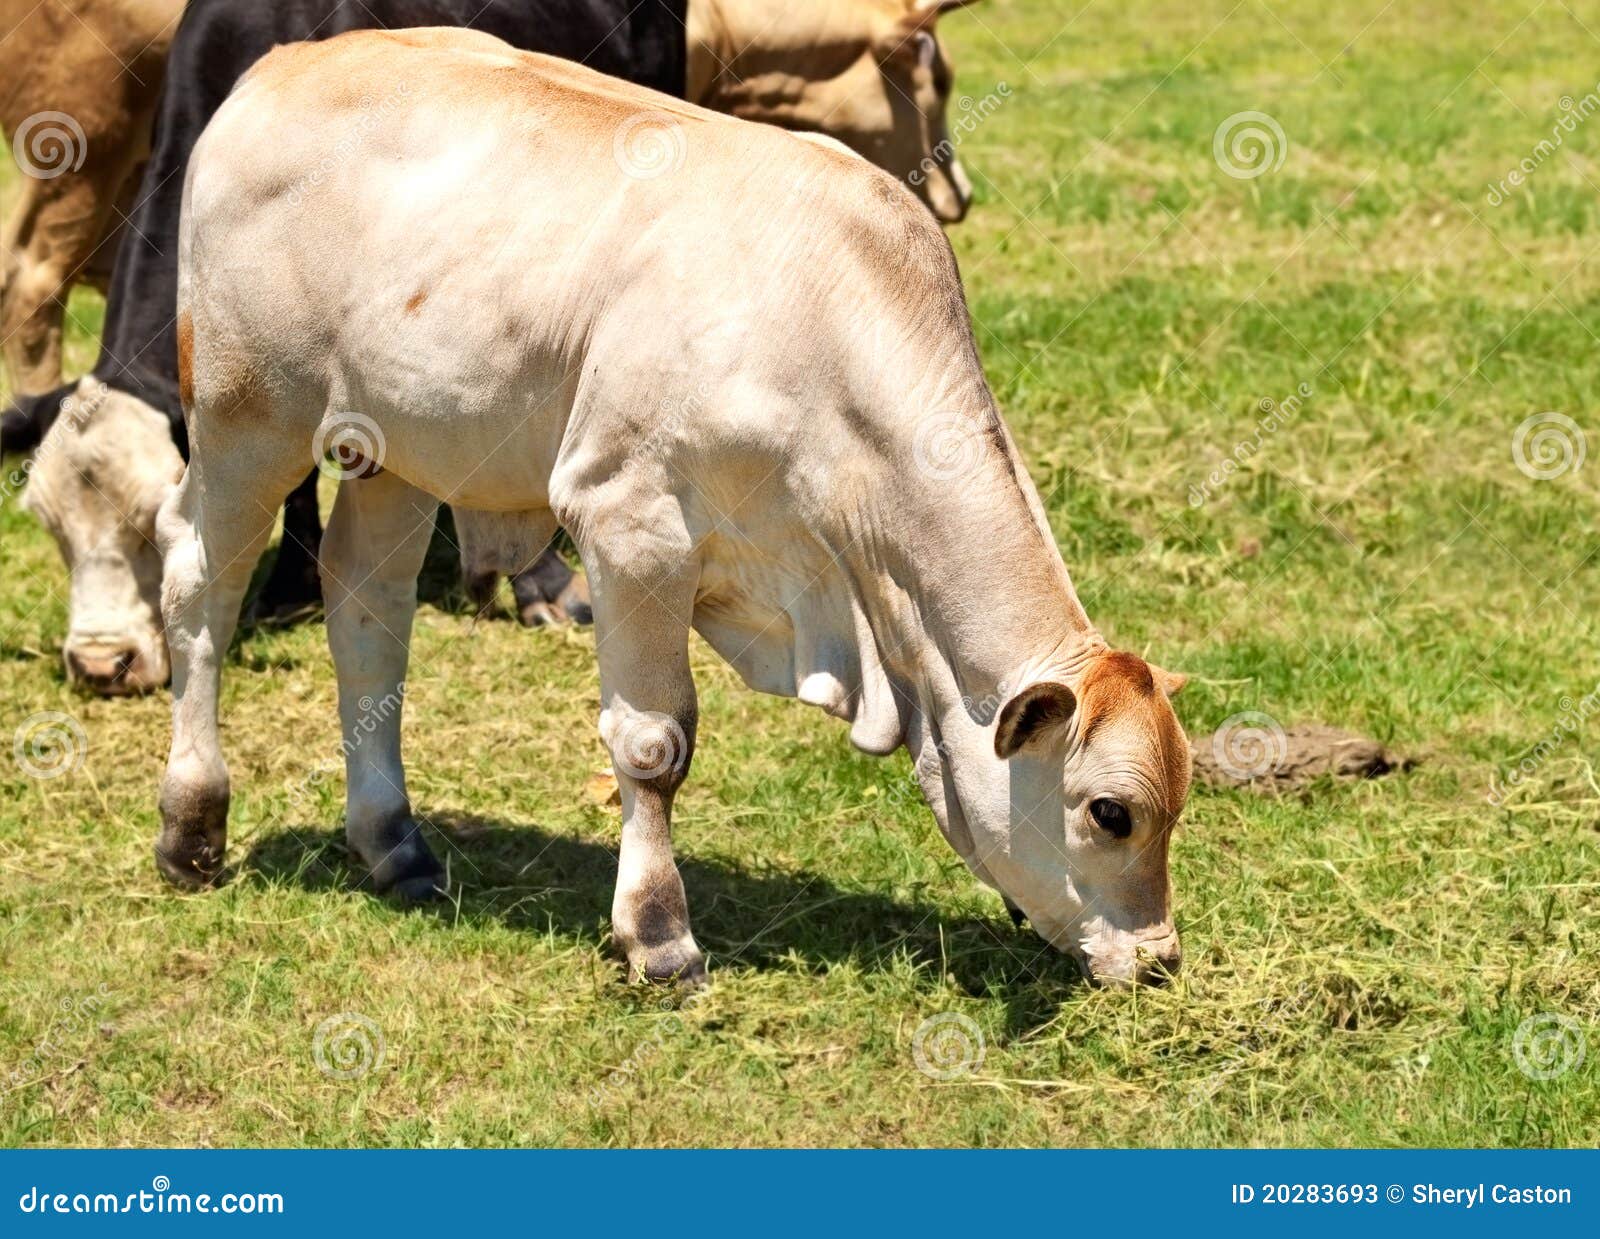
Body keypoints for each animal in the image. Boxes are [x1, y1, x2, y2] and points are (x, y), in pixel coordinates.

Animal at [157, 28, 1191, 988]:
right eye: (1111, 811)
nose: (1160, 960)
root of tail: (282, 65)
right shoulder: (631, 524)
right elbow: (655, 741)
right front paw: (658, 935)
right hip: (247, 419)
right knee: (198, 585)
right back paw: (192, 824)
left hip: (396, 452)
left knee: (368, 615)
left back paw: (393, 841)